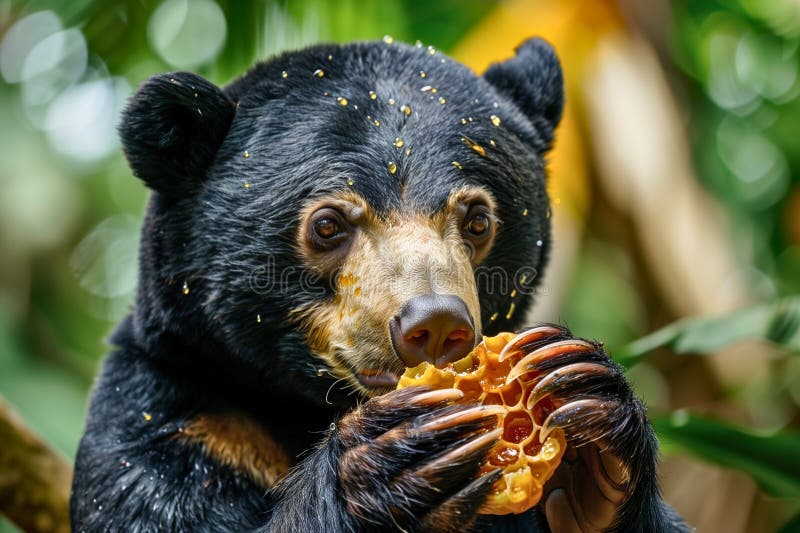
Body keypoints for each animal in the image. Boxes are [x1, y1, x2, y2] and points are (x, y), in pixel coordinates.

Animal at [70, 37, 689, 532]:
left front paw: (591, 413)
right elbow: (153, 499)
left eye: (478, 220)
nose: (434, 323)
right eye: (326, 225)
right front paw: (388, 462)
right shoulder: (181, 424)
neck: (306, 408)